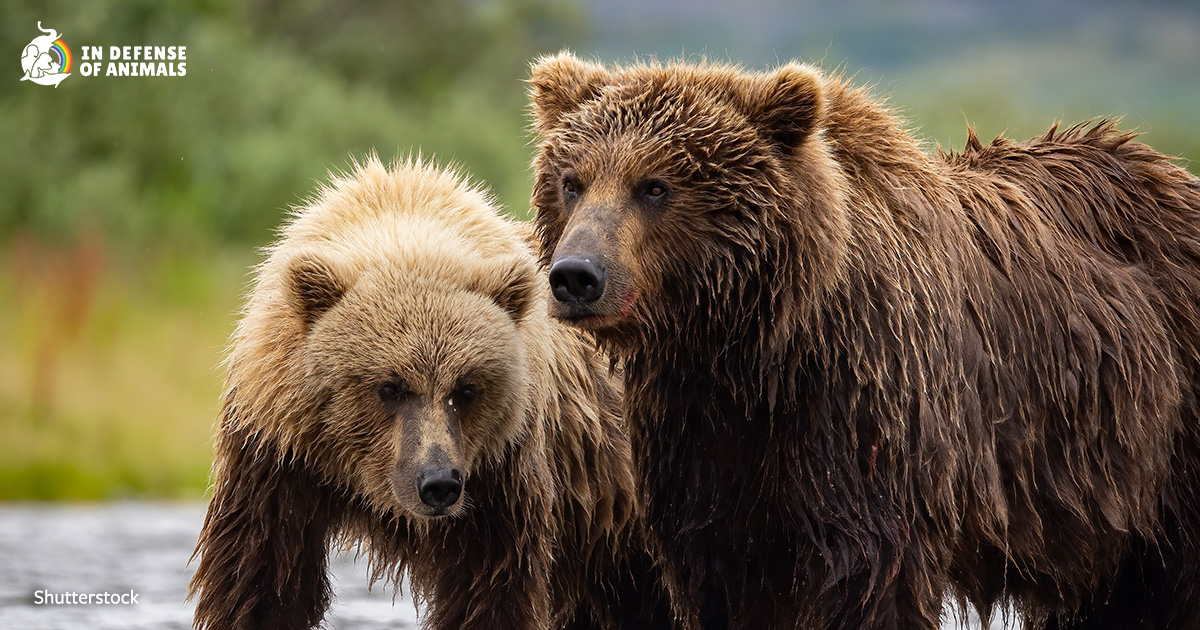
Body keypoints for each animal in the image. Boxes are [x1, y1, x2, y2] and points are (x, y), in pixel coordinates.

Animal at [187, 155, 674, 630]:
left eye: (466, 388)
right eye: (389, 387)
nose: (438, 483)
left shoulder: (501, 475)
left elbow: (488, 593)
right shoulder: (278, 454)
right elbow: (261, 579)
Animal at [528, 52, 1200, 630]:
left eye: (655, 185)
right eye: (572, 181)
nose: (576, 276)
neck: (754, 346)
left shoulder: (868, 413)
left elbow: (870, 576)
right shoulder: (705, 449)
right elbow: (727, 578)